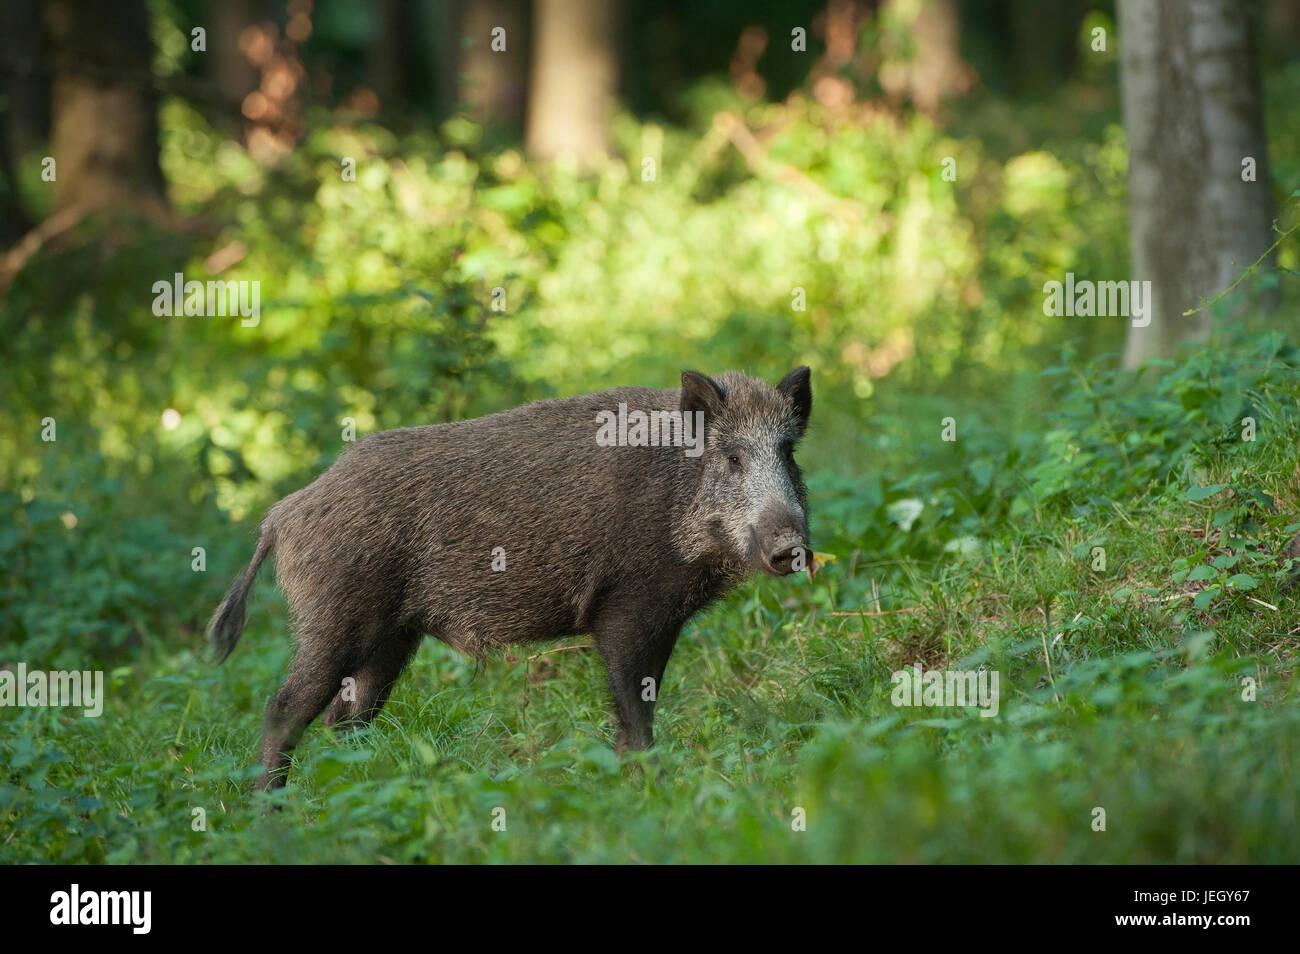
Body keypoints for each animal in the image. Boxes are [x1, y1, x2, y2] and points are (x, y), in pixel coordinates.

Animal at [208, 367, 813, 790]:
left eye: (788, 454)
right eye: (732, 458)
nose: (792, 549)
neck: (675, 498)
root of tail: (283, 513)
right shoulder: (625, 609)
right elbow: (635, 714)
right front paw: (648, 788)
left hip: (392, 637)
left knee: (347, 717)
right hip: (337, 617)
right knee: (284, 708)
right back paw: (270, 814)